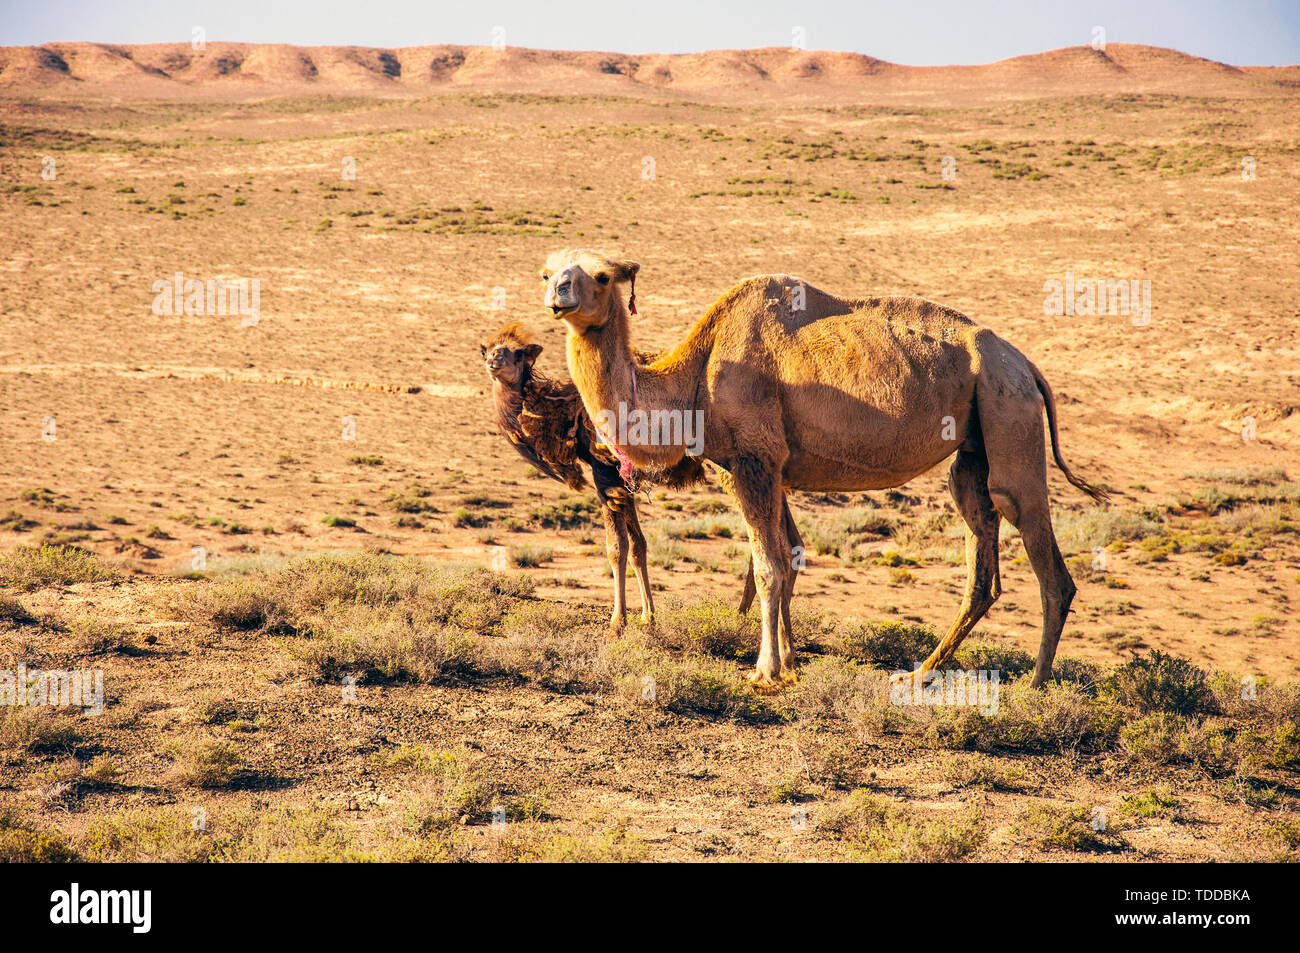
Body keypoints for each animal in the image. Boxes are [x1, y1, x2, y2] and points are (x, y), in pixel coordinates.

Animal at [481, 323, 801, 631]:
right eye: (487, 348)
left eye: (518, 353)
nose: (494, 360)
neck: (561, 414)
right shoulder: (622, 480)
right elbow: (638, 546)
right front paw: (648, 615)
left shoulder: (603, 472)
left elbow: (617, 547)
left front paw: (618, 620)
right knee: (789, 541)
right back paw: (760, 622)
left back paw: (752, 621)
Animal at [540, 249, 1108, 692]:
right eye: (546, 270)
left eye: (601, 276)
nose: (559, 292)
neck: (695, 376)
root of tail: (1026, 365)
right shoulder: (766, 466)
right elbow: (787, 557)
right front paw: (790, 663)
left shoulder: (754, 458)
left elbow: (769, 567)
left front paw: (765, 671)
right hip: (975, 439)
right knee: (978, 549)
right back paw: (919, 674)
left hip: (1008, 407)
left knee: (1036, 540)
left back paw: (1035, 685)